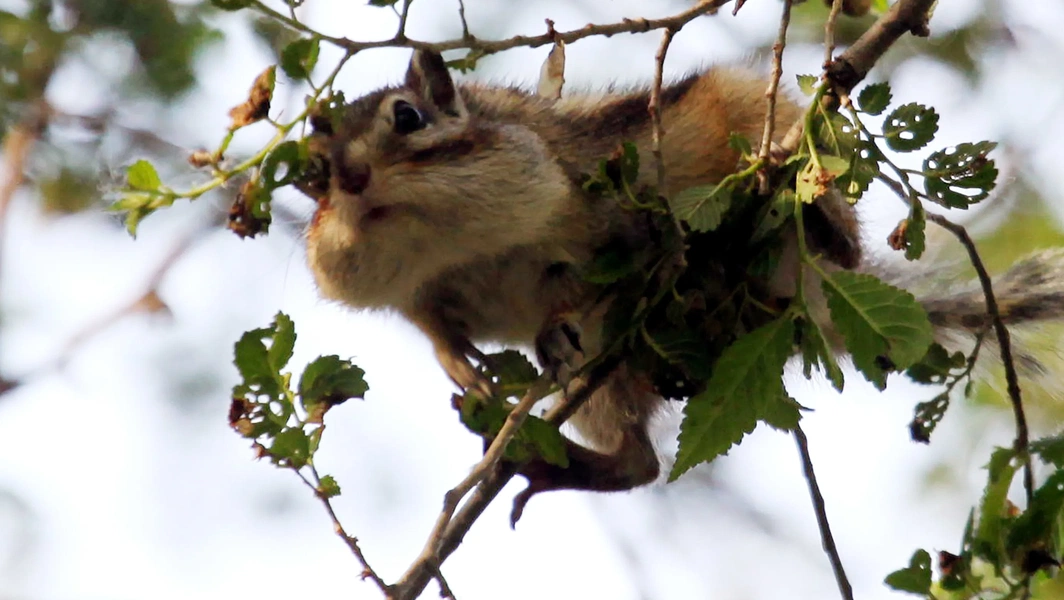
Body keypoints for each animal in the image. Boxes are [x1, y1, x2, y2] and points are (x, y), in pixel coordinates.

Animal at [297, 49, 1064, 512]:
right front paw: (460, 363)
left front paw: (555, 321)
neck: (452, 245)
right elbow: (431, 324)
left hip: (764, 127)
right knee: (638, 461)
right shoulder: (418, 291)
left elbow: (611, 272)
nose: (353, 180)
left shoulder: (604, 202)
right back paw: (551, 464)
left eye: (407, 116)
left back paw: (818, 223)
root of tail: (807, 306)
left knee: (839, 246)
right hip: (614, 386)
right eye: (312, 173)